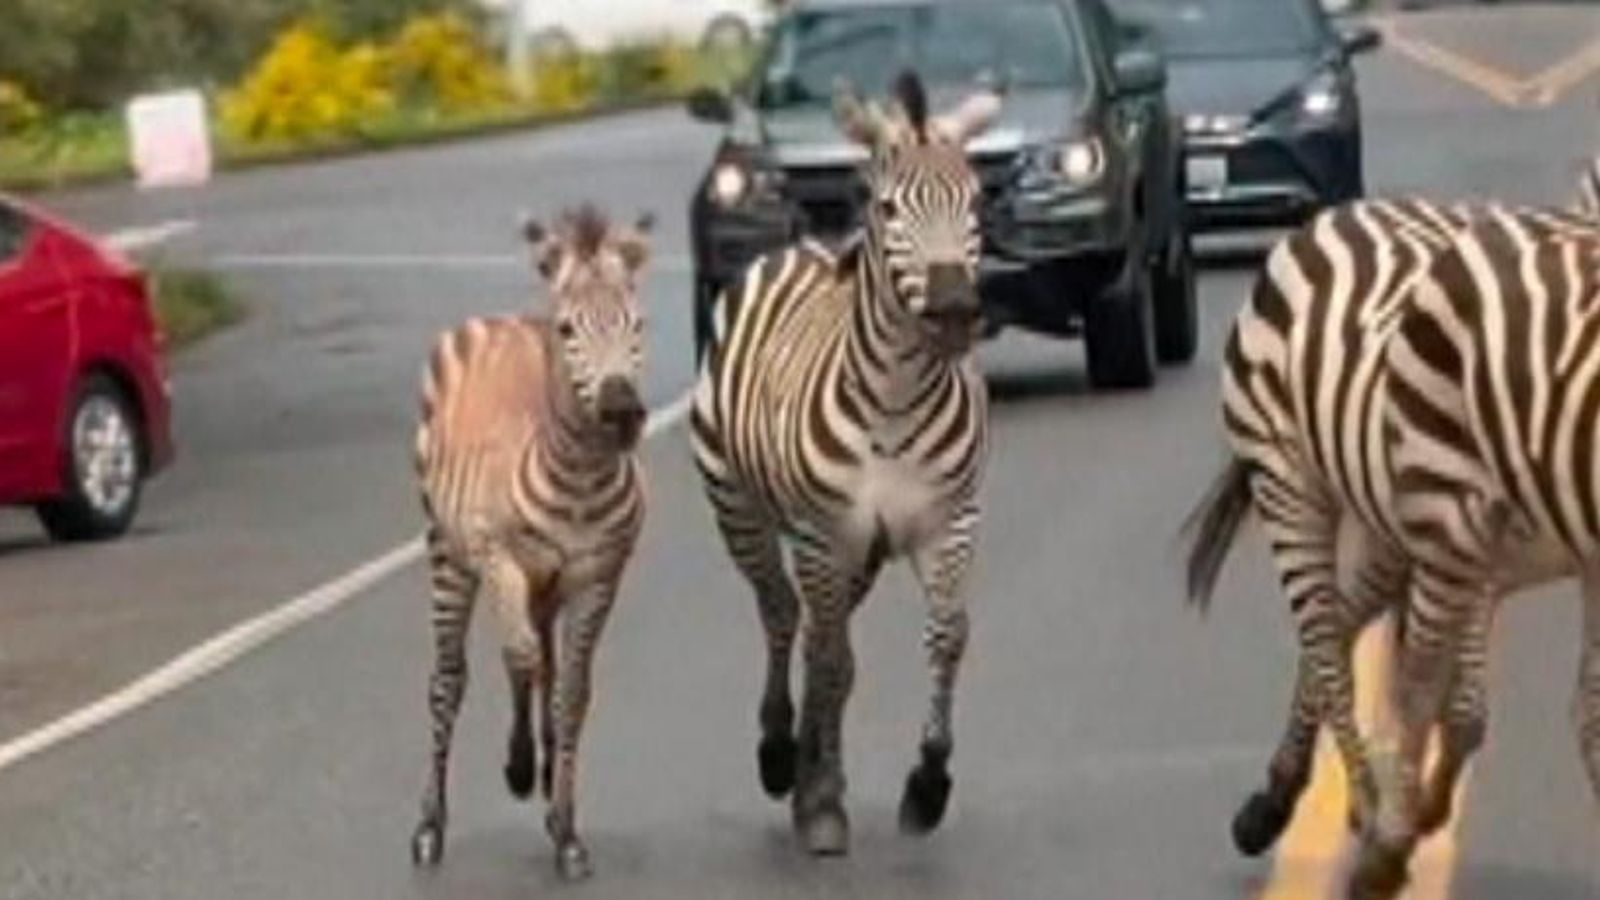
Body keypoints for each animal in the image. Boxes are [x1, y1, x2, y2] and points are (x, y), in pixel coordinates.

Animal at [409, 205, 654, 881]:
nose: (622, 411)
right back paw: (431, 826)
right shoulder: (501, 560)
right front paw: (520, 769)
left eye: (638, 323)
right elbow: (518, 659)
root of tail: (503, 319)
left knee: (540, 660)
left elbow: (571, 690)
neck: (578, 481)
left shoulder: (598, 574)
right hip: (450, 554)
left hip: (545, 584)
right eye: (568, 329)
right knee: (450, 678)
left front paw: (565, 827)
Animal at [689, 71, 1001, 856]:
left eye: (976, 199)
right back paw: (781, 755)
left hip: (856, 553)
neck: (894, 402)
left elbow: (947, 637)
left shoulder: (949, 523)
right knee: (783, 616)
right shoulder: (821, 535)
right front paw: (823, 801)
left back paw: (806, 766)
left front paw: (927, 784)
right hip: (746, 514)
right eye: (887, 208)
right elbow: (827, 657)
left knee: (822, 643)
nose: (955, 311)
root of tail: (798, 245)